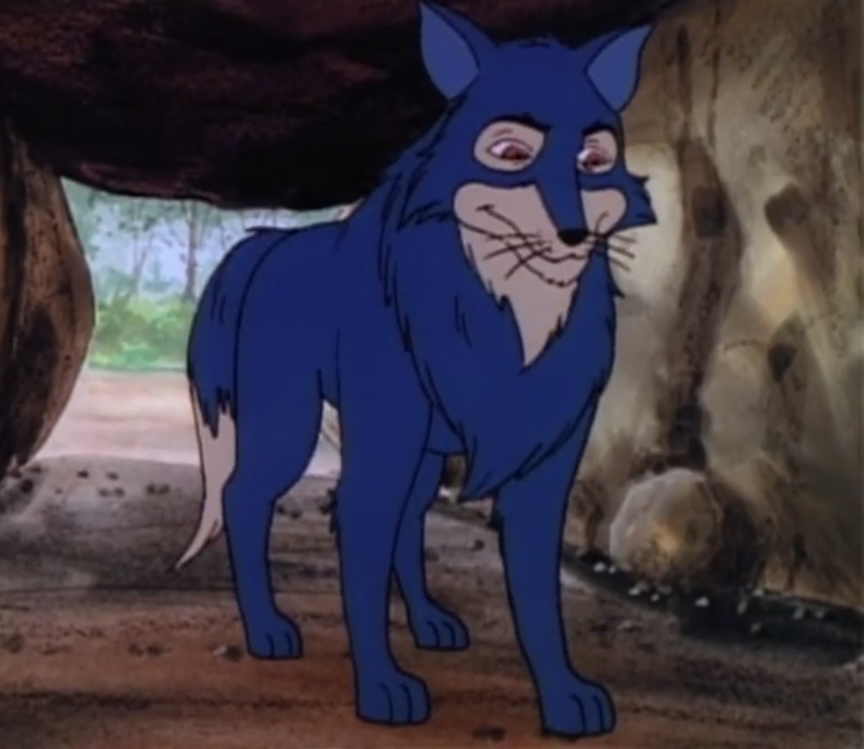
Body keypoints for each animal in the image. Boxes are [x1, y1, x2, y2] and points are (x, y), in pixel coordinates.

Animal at [177, 3, 656, 739]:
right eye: (511, 155)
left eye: (593, 160)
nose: (573, 236)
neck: (509, 316)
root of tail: (264, 246)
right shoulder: (381, 448)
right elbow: (364, 563)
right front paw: (382, 689)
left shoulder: (545, 468)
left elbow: (537, 597)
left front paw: (564, 696)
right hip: (292, 431)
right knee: (244, 499)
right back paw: (266, 631)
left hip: (423, 453)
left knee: (408, 526)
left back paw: (429, 623)